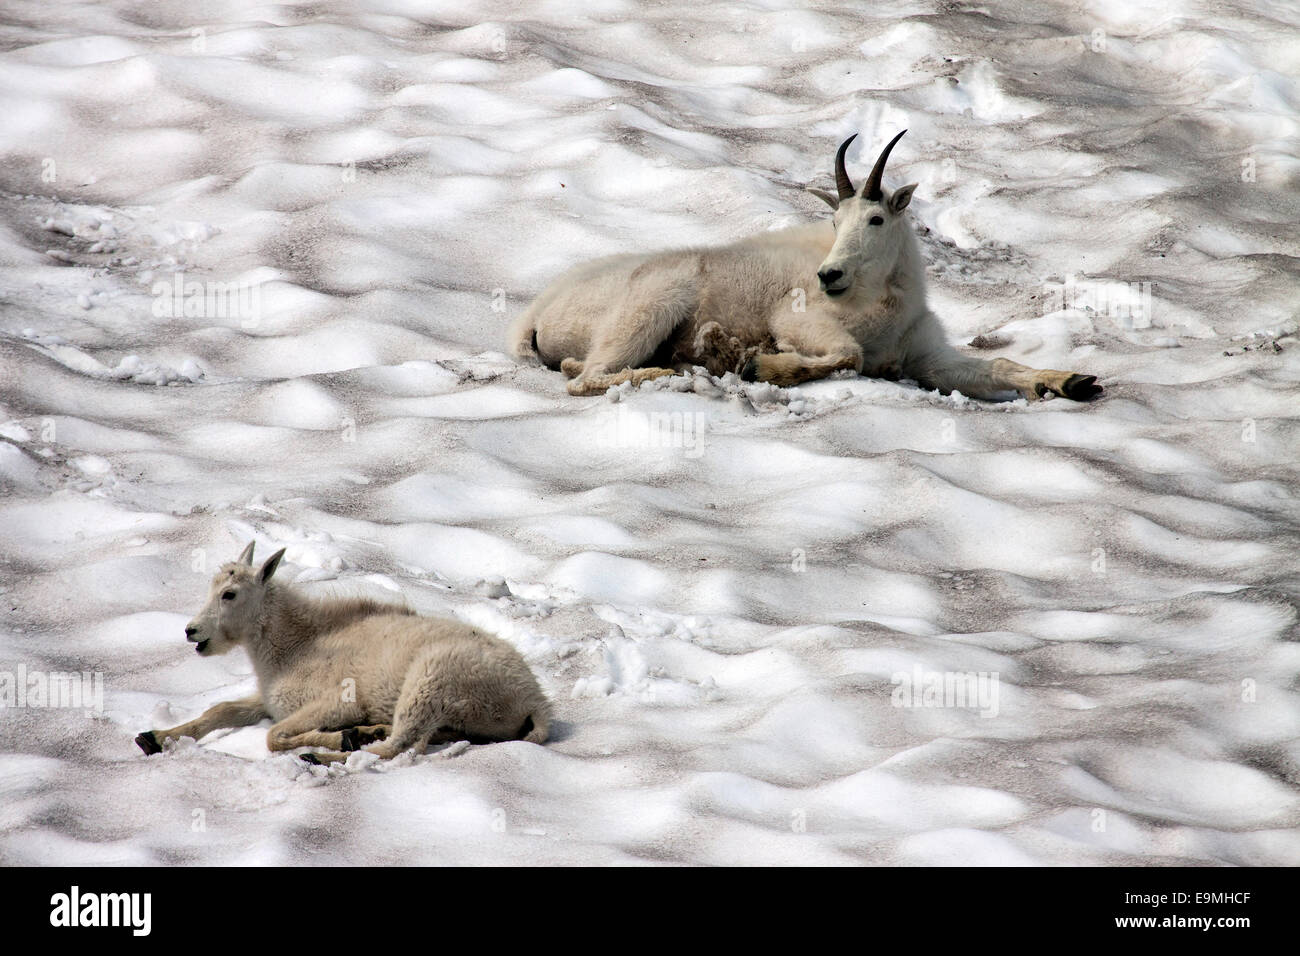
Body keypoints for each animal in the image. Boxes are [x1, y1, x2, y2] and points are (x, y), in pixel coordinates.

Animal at [135, 542, 550, 765]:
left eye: (230, 594)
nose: (191, 631)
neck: (293, 647)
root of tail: (536, 702)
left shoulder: (339, 701)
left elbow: (274, 736)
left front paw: (334, 738)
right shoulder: (268, 700)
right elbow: (220, 710)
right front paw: (153, 737)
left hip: (430, 680)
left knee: (400, 746)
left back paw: (332, 751)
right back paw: (366, 733)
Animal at [509, 130, 1102, 402]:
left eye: (875, 219)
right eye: (835, 221)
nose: (828, 276)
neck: (884, 304)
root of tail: (535, 315)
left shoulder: (926, 356)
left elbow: (999, 367)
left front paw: (1074, 381)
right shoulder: (797, 320)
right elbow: (847, 355)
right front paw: (759, 366)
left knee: (578, 370)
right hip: (652, 303)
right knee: (586, 377)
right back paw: (675, 371)